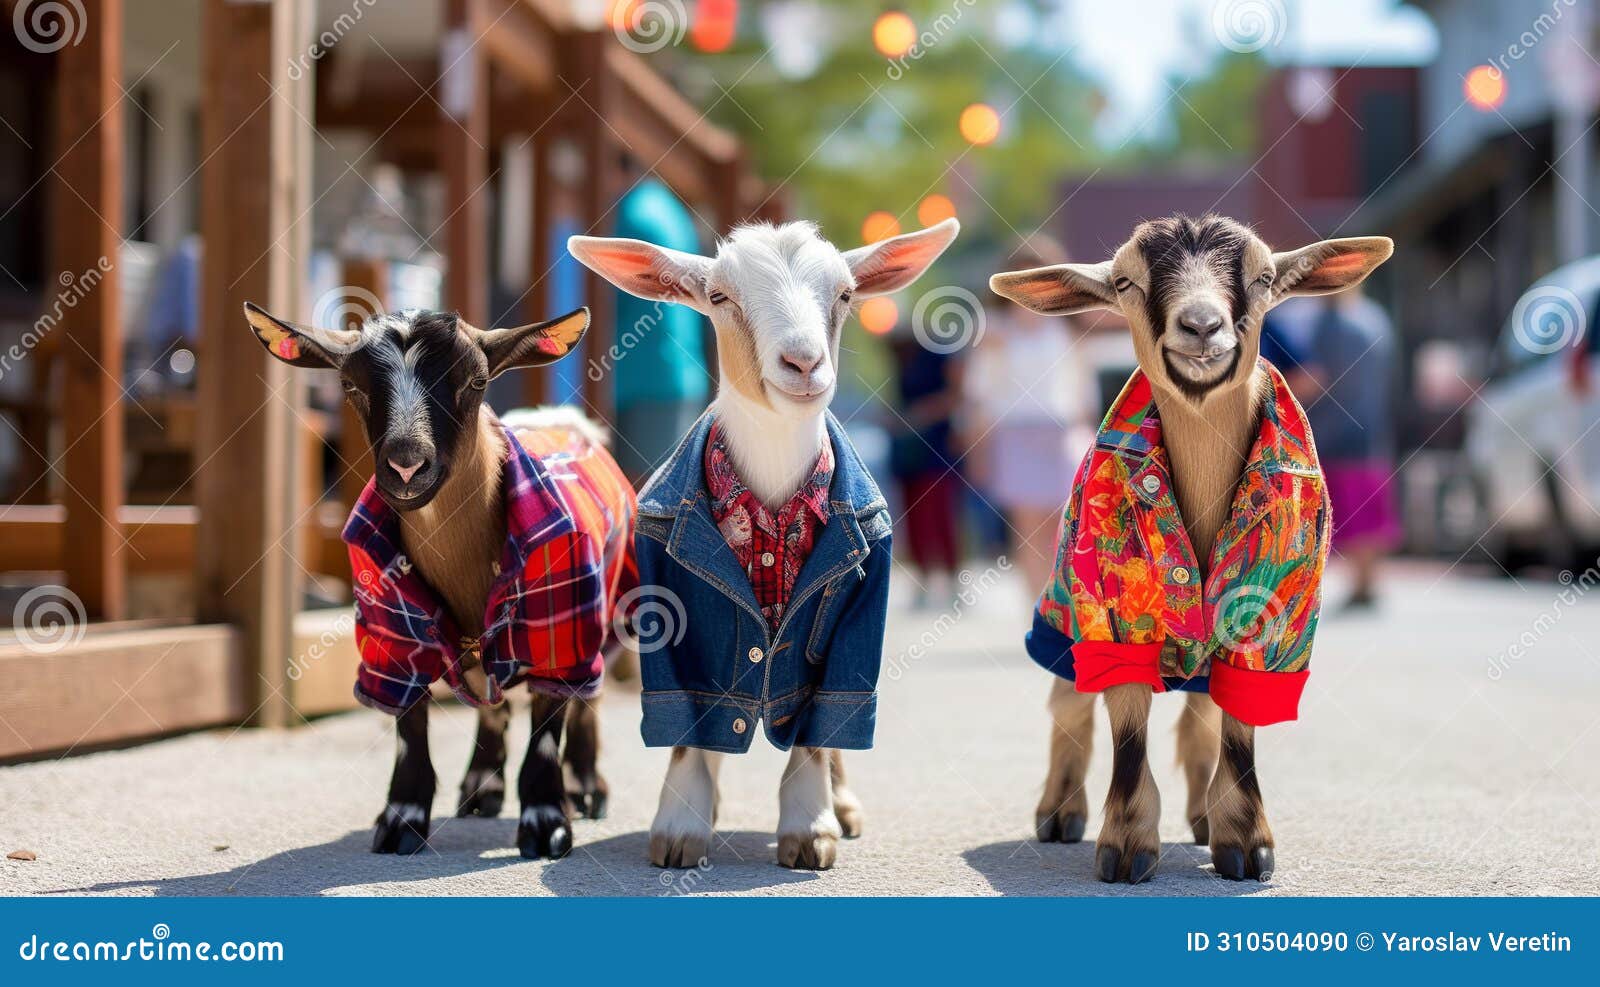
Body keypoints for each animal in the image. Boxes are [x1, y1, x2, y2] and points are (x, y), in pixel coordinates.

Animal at [244, 302, 636, 860]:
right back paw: (480, 789)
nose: (407, 465)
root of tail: (558, 420)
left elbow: (546, 727)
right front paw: (401, 820)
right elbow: (410, 725)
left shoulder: (561, 625)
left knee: (589, 700)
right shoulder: (392, 634)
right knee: (493, 705)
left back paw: (586, 787)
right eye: (350, 385)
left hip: (615, 609)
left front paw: (546, 824)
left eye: (475, 380)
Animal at [569, 218, 958, 869]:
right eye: (719, 296)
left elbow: (822, 721)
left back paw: (843, 805)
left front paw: (811, 826)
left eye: (846, 294)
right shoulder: (670, 604)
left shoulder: (858, 605)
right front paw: (680, 826)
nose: (803, 362)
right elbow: (685, 718)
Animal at [991, 215, 1392, 882]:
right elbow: (1127, 727)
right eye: (1124, 282)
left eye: (1264, 277)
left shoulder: (1270, 617)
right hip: (1063, 605)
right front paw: (1126, 847)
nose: (1202, 325)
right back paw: (1060, 813)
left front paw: (1246, 845)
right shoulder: (1115, 610)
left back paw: (1203, 818)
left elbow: (1239, 727)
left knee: (1200, 715)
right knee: (1068, 704)